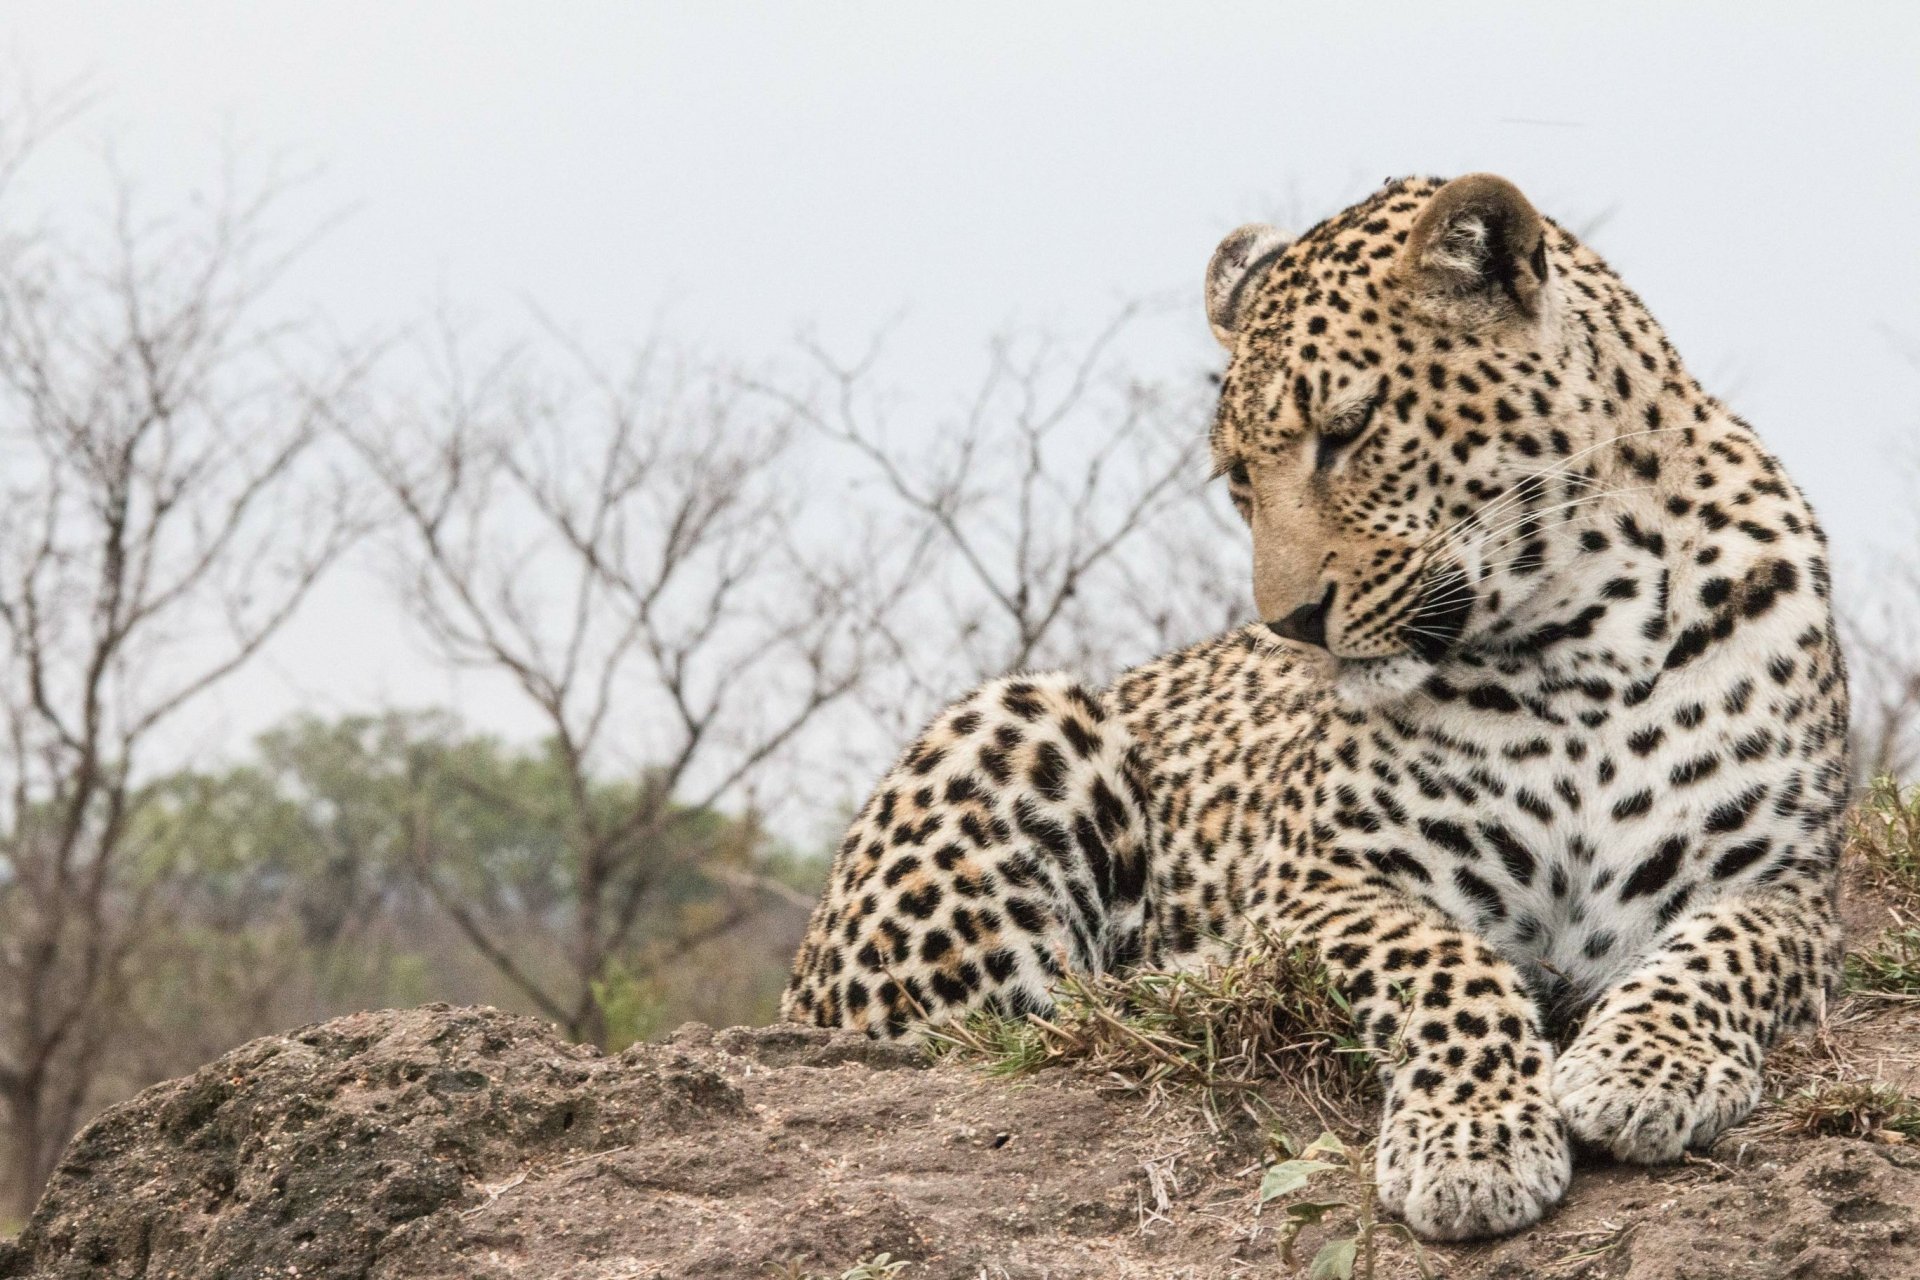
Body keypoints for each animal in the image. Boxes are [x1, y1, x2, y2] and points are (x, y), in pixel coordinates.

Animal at [782, 173, 1850, 1241]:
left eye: (1349, 431)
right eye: (1239, 478)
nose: (1290, 623)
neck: (1581, 634)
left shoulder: (1788, 884)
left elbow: (1724, 950)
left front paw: (1645, 1067)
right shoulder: (1320, 883)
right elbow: (1443, 964)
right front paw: (1474, 1141)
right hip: (1019, 719)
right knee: (987, 1022)